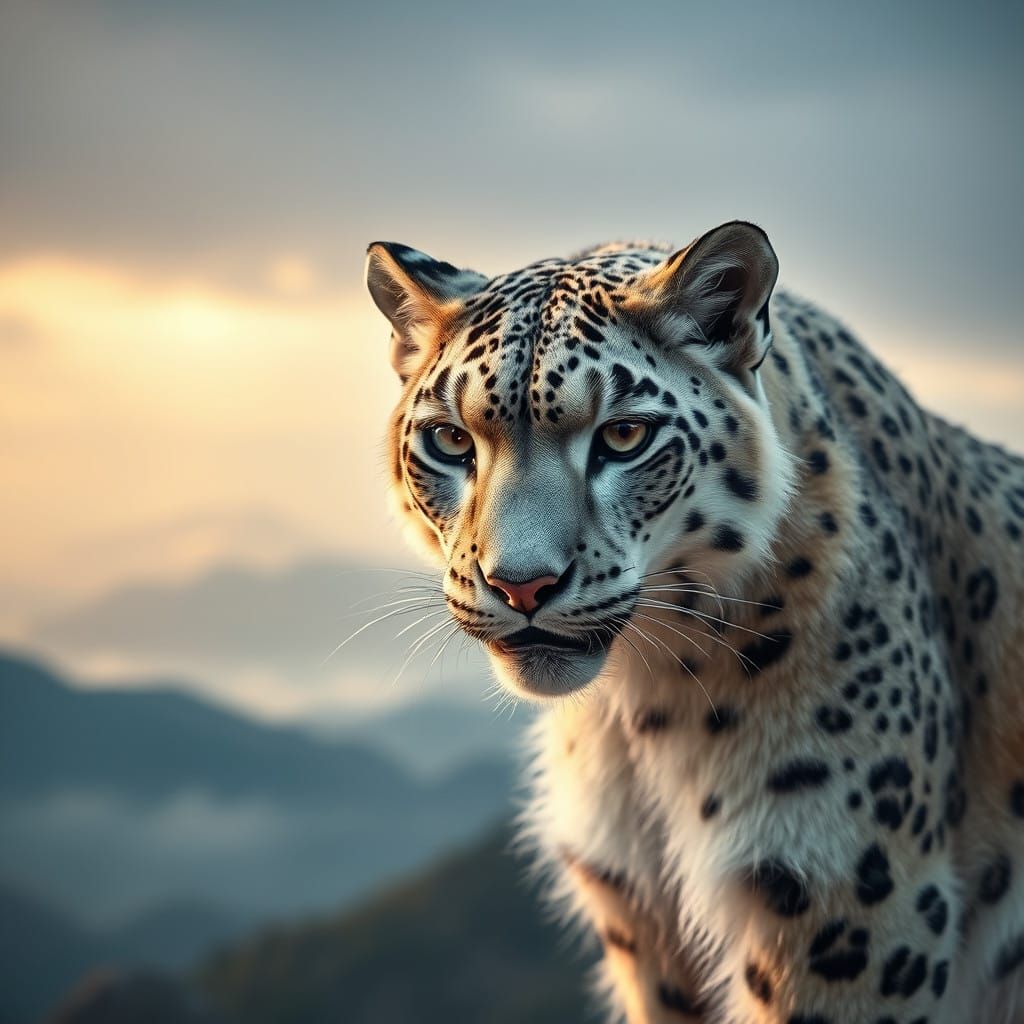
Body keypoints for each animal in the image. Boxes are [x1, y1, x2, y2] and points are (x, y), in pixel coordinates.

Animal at [364, 221, 1024, 1023]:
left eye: (624, 436)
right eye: (451, 440)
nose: (522, 585)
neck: (638, 713)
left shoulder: (847, 905)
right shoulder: (643, 918)